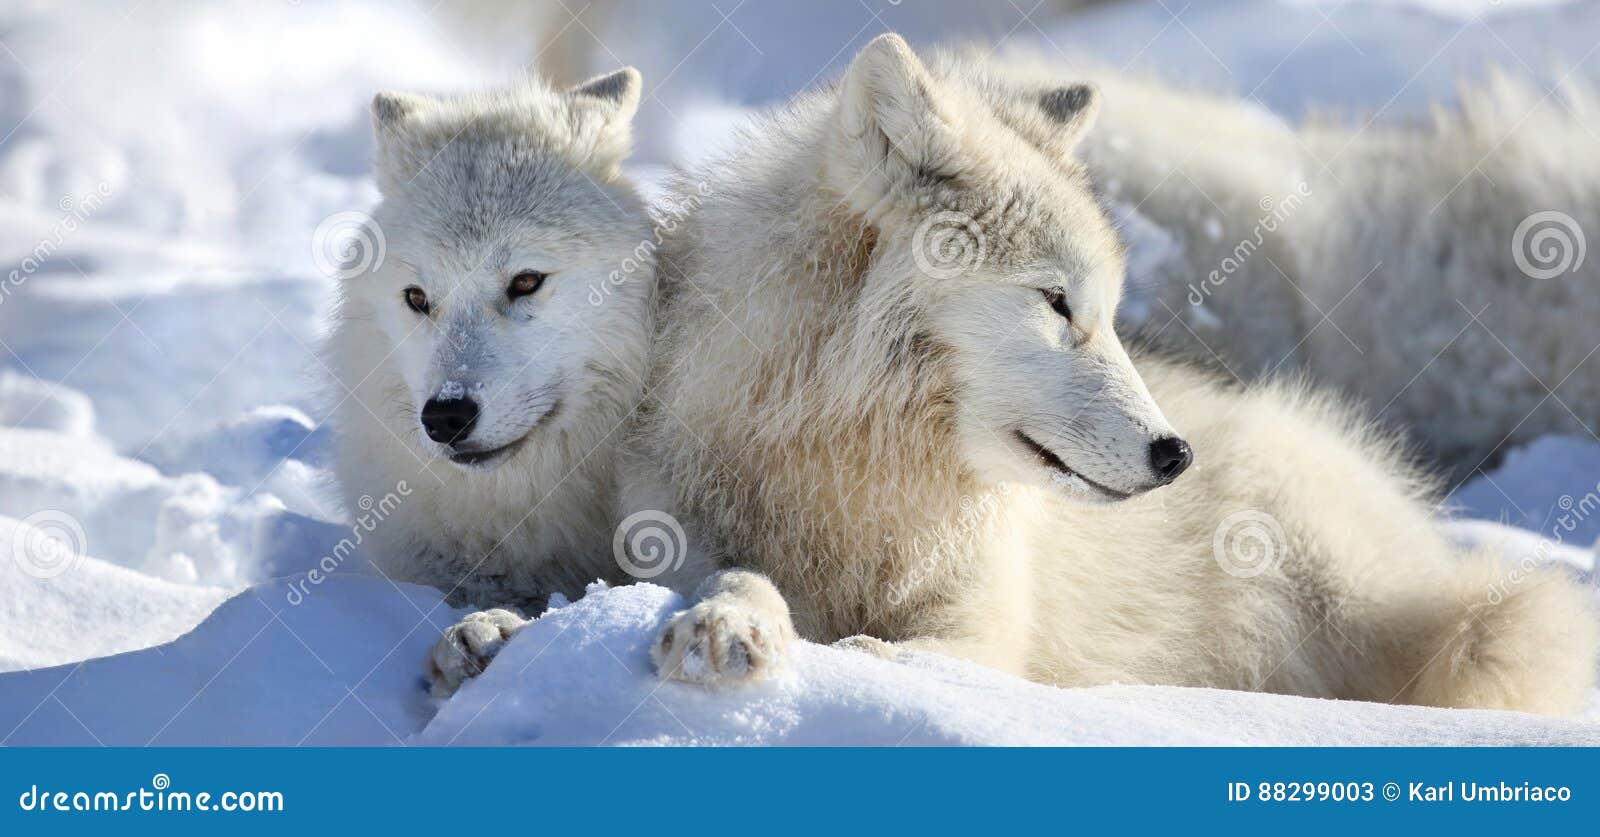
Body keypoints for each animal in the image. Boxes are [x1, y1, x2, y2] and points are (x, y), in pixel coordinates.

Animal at [629, 34, 1598, 714]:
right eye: (1058, 302)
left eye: (1110, 310)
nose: (1176, 454)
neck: (870, 481)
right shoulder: (686, 534)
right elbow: (731, 581)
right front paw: (726, 626)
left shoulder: (982, 625)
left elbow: (907, 657)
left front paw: (861, 668)